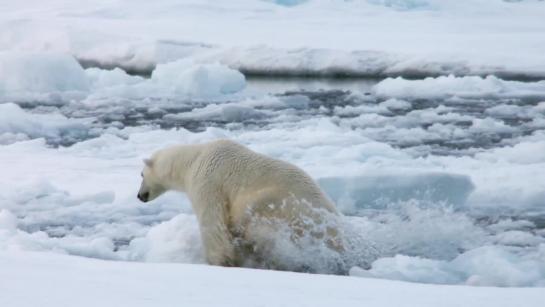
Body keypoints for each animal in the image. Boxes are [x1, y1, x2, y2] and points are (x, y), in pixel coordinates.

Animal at [136, 140, 344, 272]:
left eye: (141, 174)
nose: (139, 196)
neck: (194, 159)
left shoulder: (208, 181)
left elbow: (213, 224)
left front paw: (219, 261)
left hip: (284, 206)